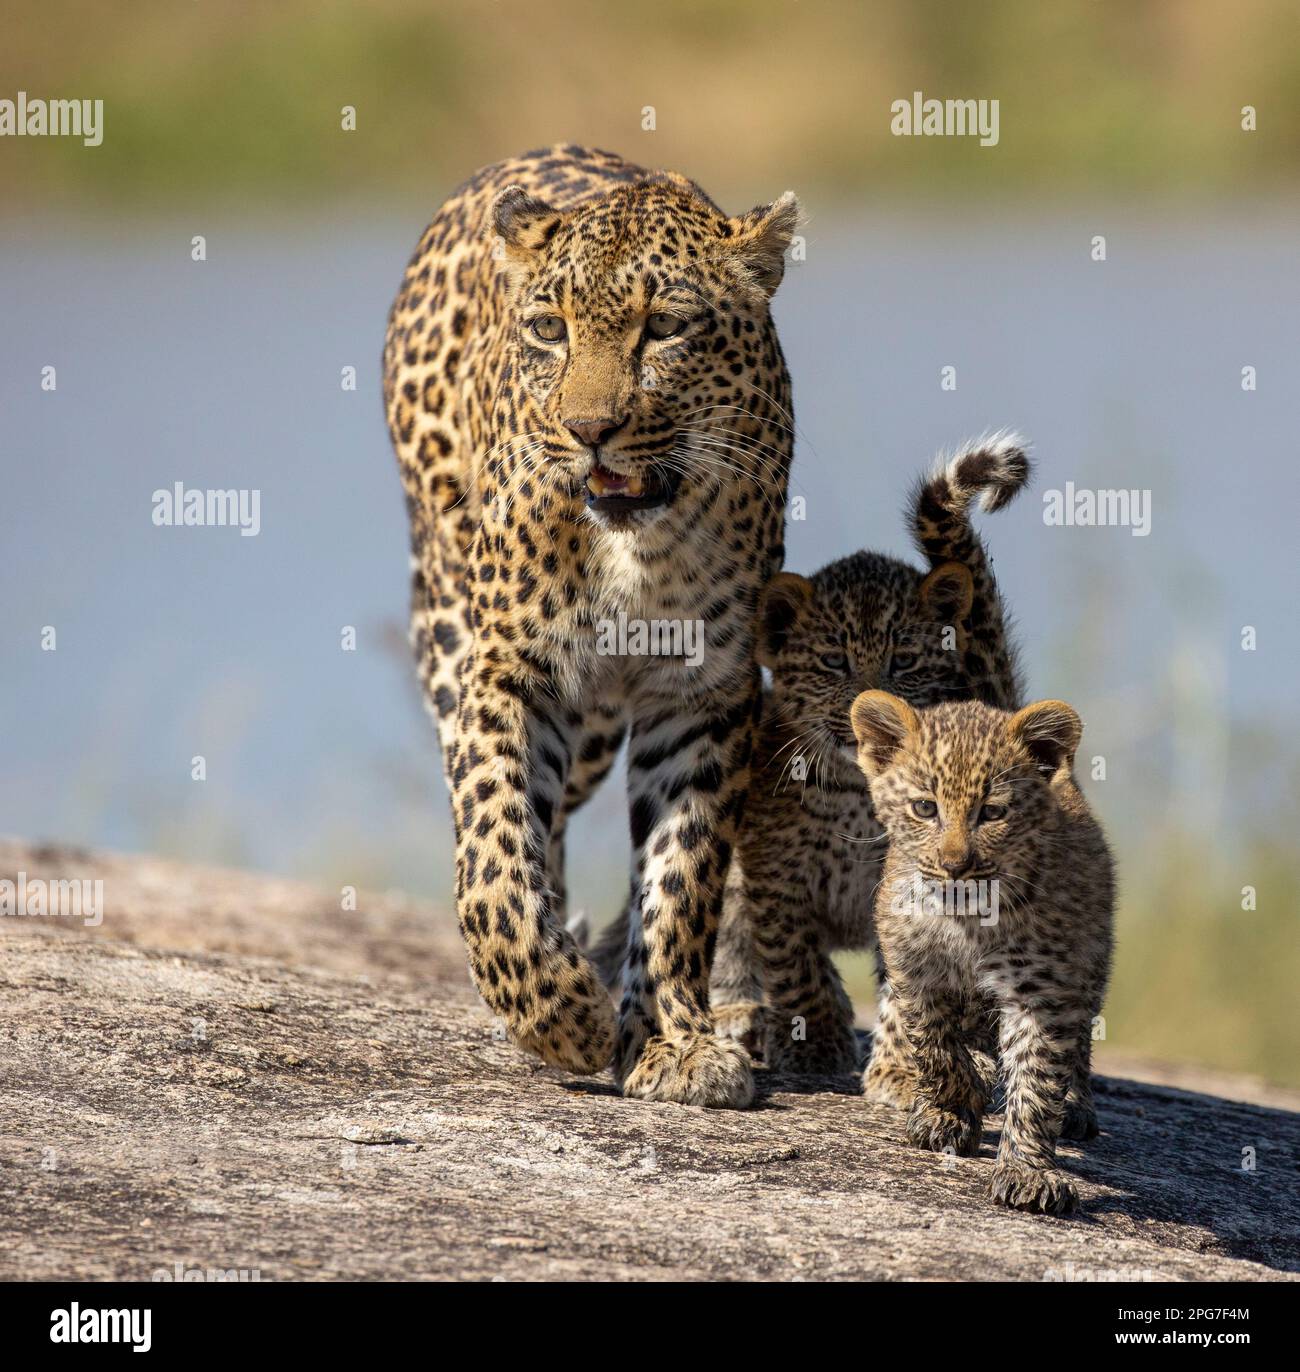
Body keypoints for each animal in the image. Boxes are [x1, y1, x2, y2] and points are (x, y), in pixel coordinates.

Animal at [383, 144, 800, 1107]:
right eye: (548, 330)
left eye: (665, 328)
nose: (588, 430)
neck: (632, 548)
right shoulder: (507, 670)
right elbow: (494, 851)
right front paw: (559, 1011)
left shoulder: (704, 693)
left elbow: (681, 880)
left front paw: (674, 1038)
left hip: (602, 726)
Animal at [590, 433, 1031, 1089]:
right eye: (832, 663)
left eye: (904, 662)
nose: (869, 711)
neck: (857, 794)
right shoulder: (774, 871)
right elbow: (793, 960)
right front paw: (817, 1041)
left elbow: (907, 979)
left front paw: (903, 1066)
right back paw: (741, 1016)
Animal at [851, 690, 1115, 1215]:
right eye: (925, 807)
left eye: (993, 813)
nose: (955, 864)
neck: (966, 921)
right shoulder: (913, 971)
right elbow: (934, 1046)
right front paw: (954, 1105)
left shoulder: (1040, 991)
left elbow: (1036, 1082)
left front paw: (1028, 1171)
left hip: (1091, 967)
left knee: (1079, 1047)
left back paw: (1077, 1105)